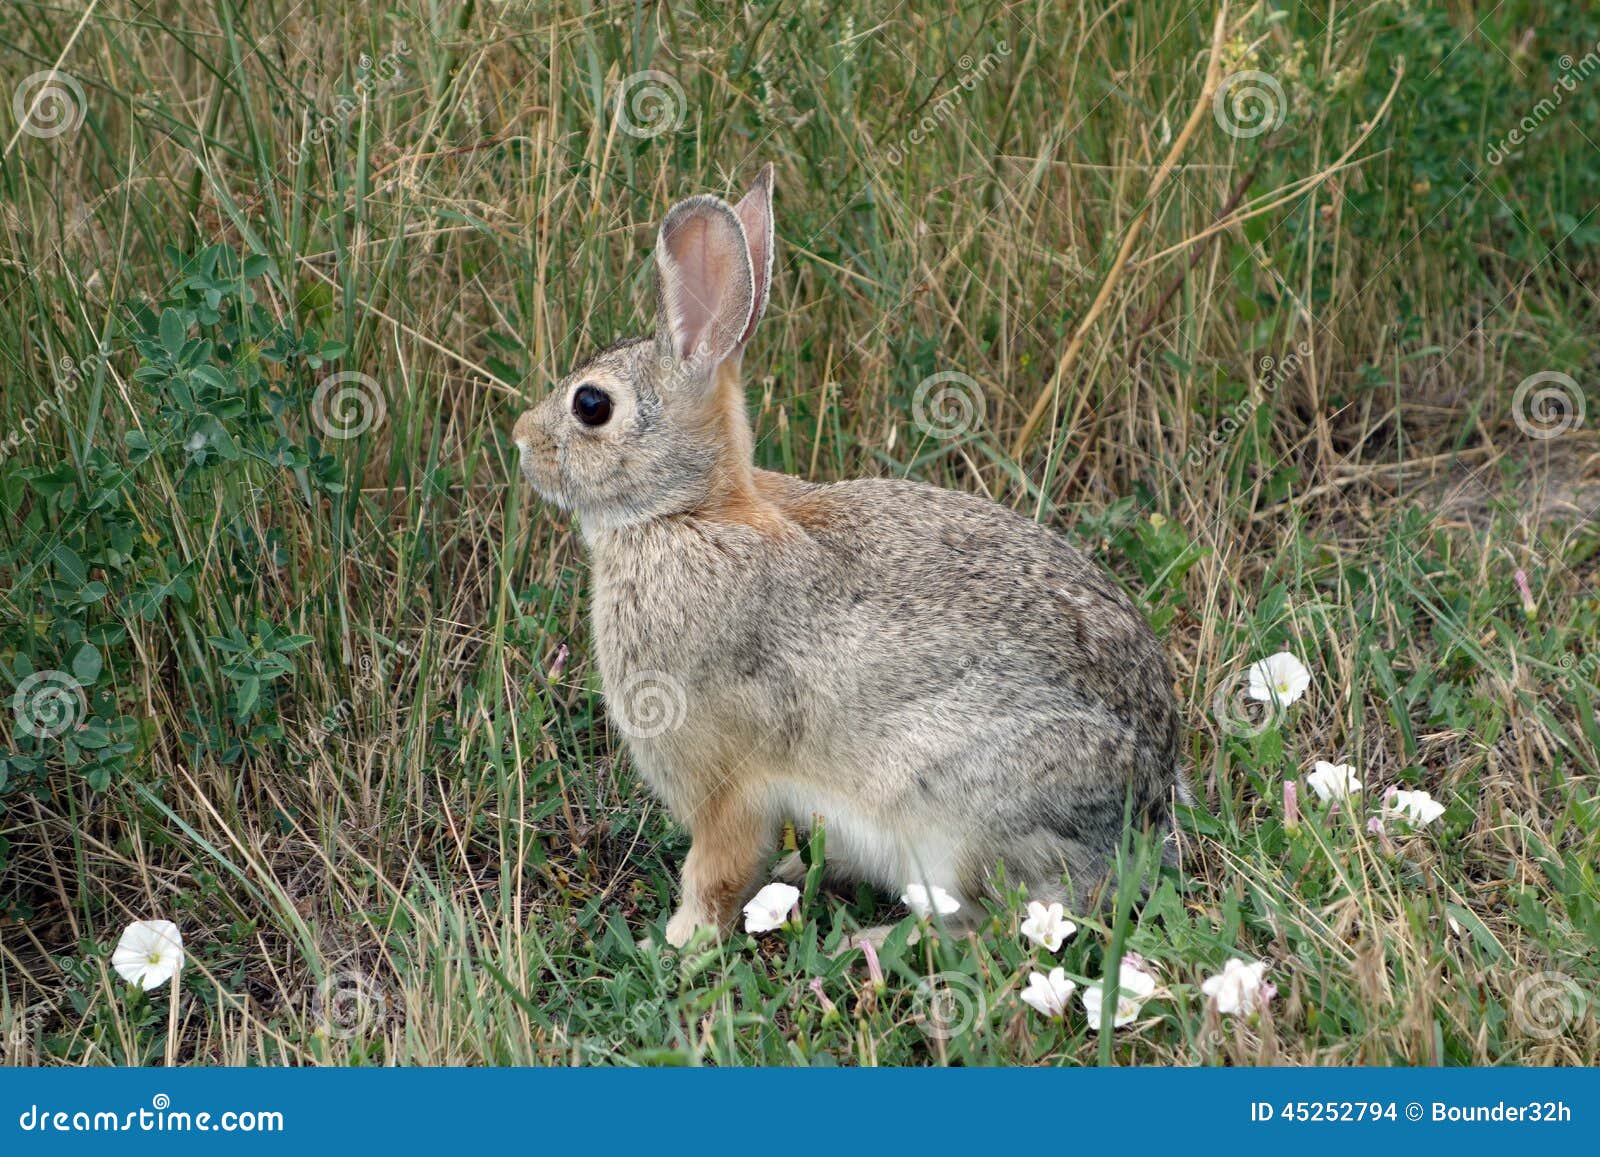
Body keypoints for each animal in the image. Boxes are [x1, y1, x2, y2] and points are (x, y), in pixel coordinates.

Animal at [514, 164, 1187, 949]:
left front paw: (677, 943)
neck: (687, 513)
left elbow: (715, 869)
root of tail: (1141, 821)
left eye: (592, 406)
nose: (521, 439)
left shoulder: (724, 780)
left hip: (951, 813)